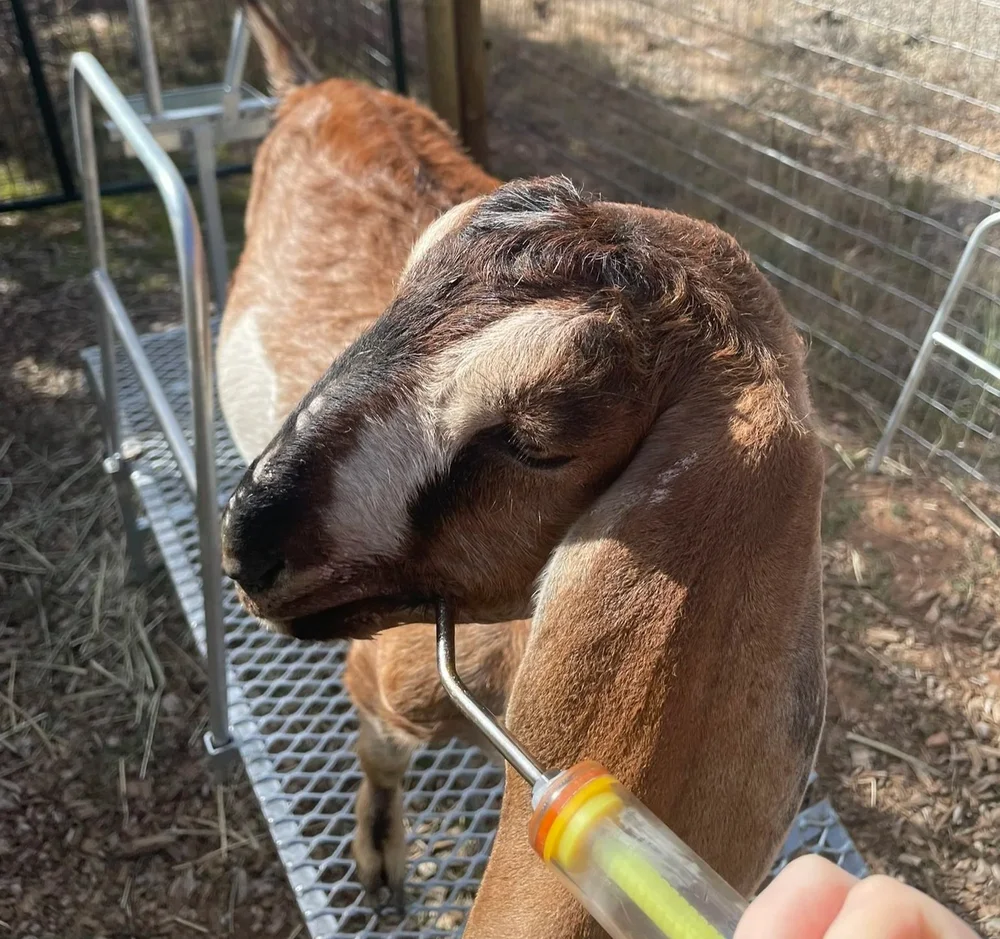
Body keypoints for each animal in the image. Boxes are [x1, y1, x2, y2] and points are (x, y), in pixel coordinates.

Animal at [218, 7, 828, 938]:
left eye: (538, 440)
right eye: (401, 284)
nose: (249, 538)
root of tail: (321, 83)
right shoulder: (384, 684)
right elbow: (378, 746)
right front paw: (380, 855)